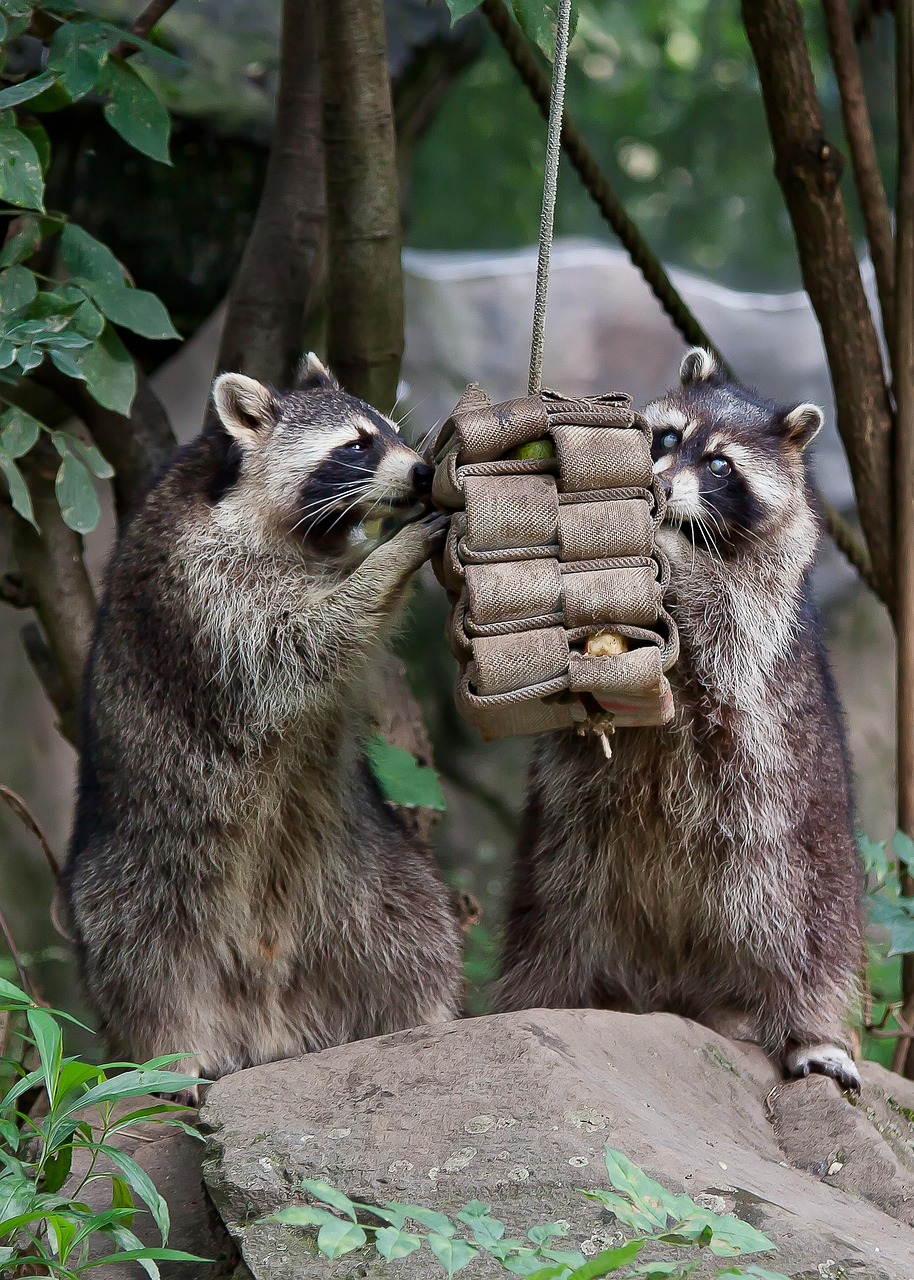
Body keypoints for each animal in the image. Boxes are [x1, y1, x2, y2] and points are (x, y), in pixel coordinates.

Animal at [62, 356, 462, 1090]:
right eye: (357, 445)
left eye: (393, 430)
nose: (423, 473)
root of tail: (266, 1019)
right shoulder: (206, 588)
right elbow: (303, 641)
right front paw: (392, 556)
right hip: (139, 873)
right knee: (145, 968)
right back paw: (170, 1058)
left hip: (369, 864)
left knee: (416, 929)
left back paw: (421, 1015)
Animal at [495, 349, 862, 1091]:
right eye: (665, 437)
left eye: (720, 465)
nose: (660, 488)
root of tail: (679, 973)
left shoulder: (765, 599)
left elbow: (725, 621)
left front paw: (673, 555)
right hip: (571, 844)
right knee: (552, 918)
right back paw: (539, 995)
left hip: (796, 844)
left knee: (808, 937)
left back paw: (808, 1024)